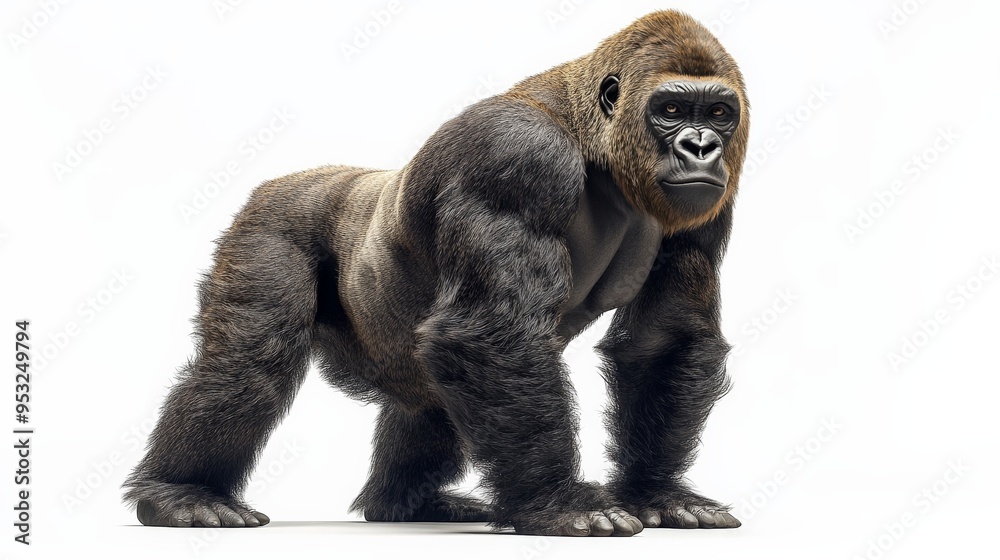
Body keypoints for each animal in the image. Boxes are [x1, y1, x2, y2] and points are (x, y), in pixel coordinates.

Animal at [123, 10, 749, 537]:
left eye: (718, 113)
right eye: (671, 111)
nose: (701, 147)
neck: (593, 140)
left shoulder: (706, 212)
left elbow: (662, 342)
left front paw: (656, 493)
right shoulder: (514, 157)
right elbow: (494, 331)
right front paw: (556, 501)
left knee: (427, 401)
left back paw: (406, 502)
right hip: (269, 221)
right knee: (249, 362)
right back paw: (180, 493)